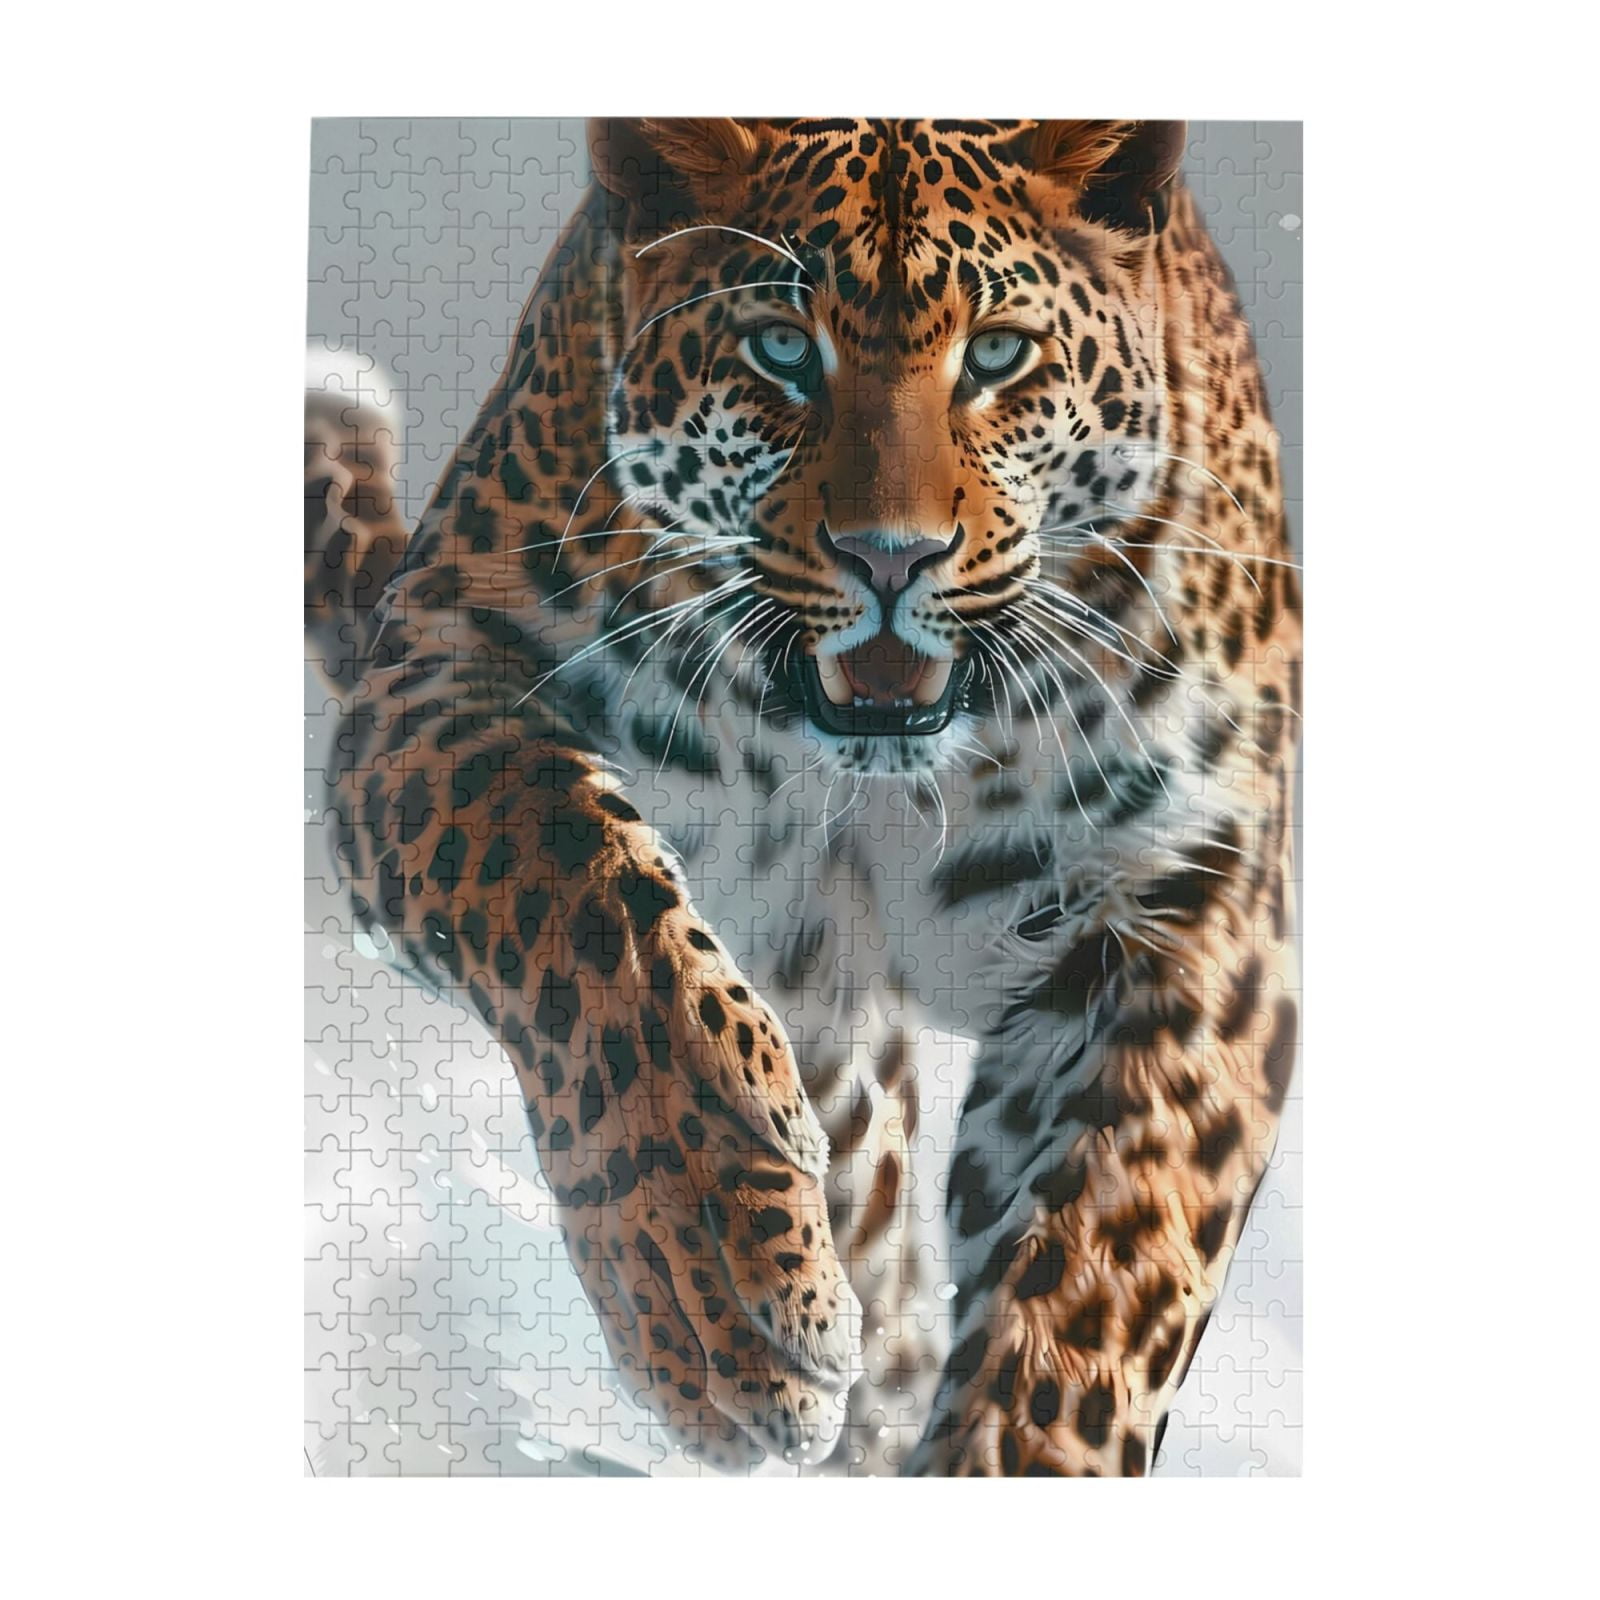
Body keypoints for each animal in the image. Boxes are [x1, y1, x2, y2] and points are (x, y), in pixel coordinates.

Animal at [305, 117, 1301, 1476]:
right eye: (781, 348)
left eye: (997, 355)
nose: (891, 557)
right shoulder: (437, 675)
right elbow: (592, 910)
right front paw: (712, 1290)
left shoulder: (1189, 887)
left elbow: (1112, 1250)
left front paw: (1019, 1449)